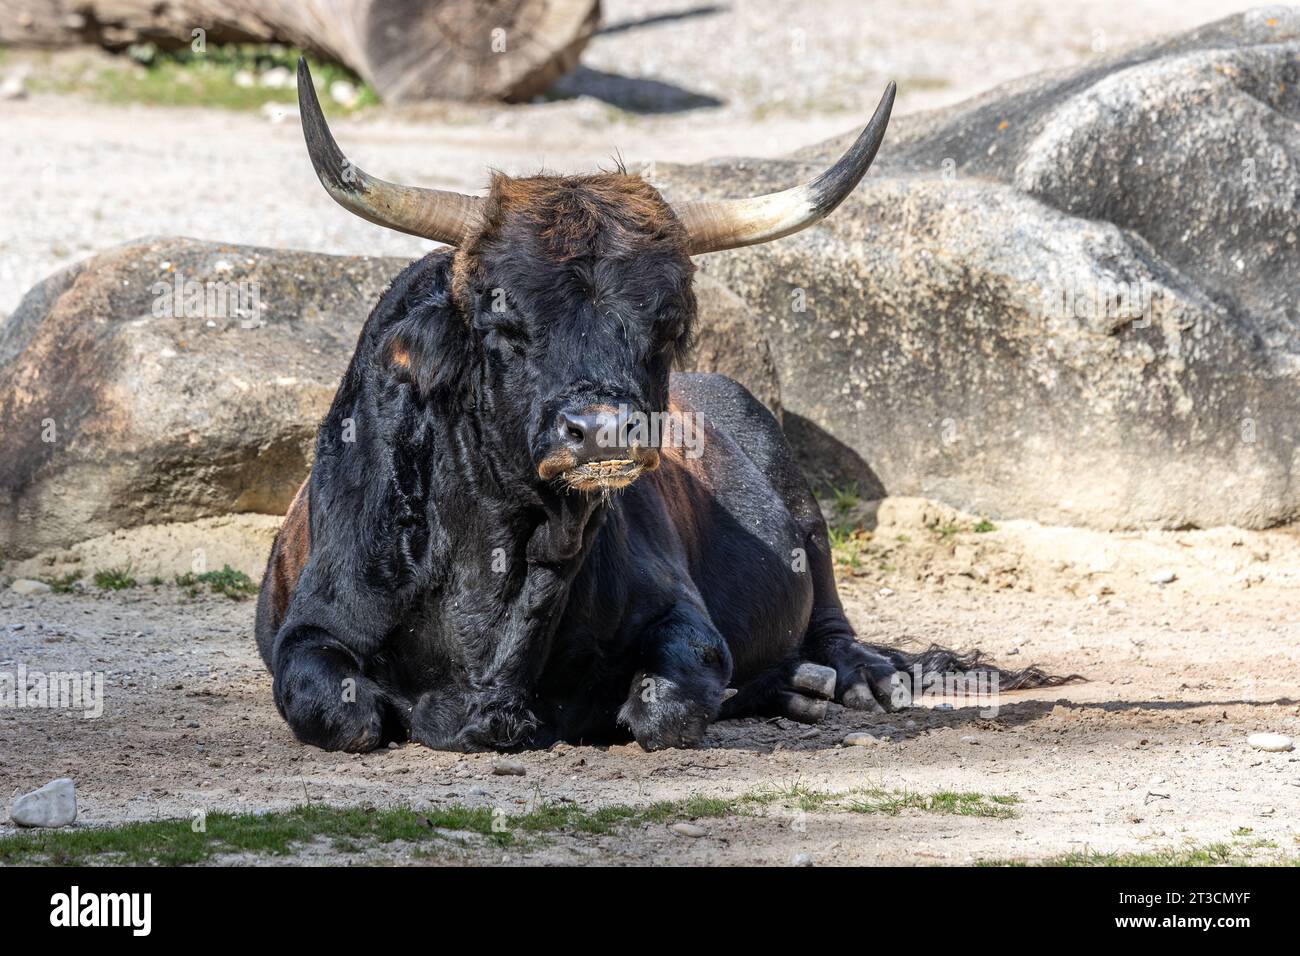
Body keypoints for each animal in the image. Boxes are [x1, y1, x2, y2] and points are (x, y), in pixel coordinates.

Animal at [256, 60, 1056, 753]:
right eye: (501, 321)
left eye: (667, 323)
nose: (603, 431)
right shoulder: (309, 637)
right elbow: (346, 715)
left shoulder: (687, 621)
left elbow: (667, 707)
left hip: (808, 520)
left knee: (831, 620)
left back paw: (851, 676)